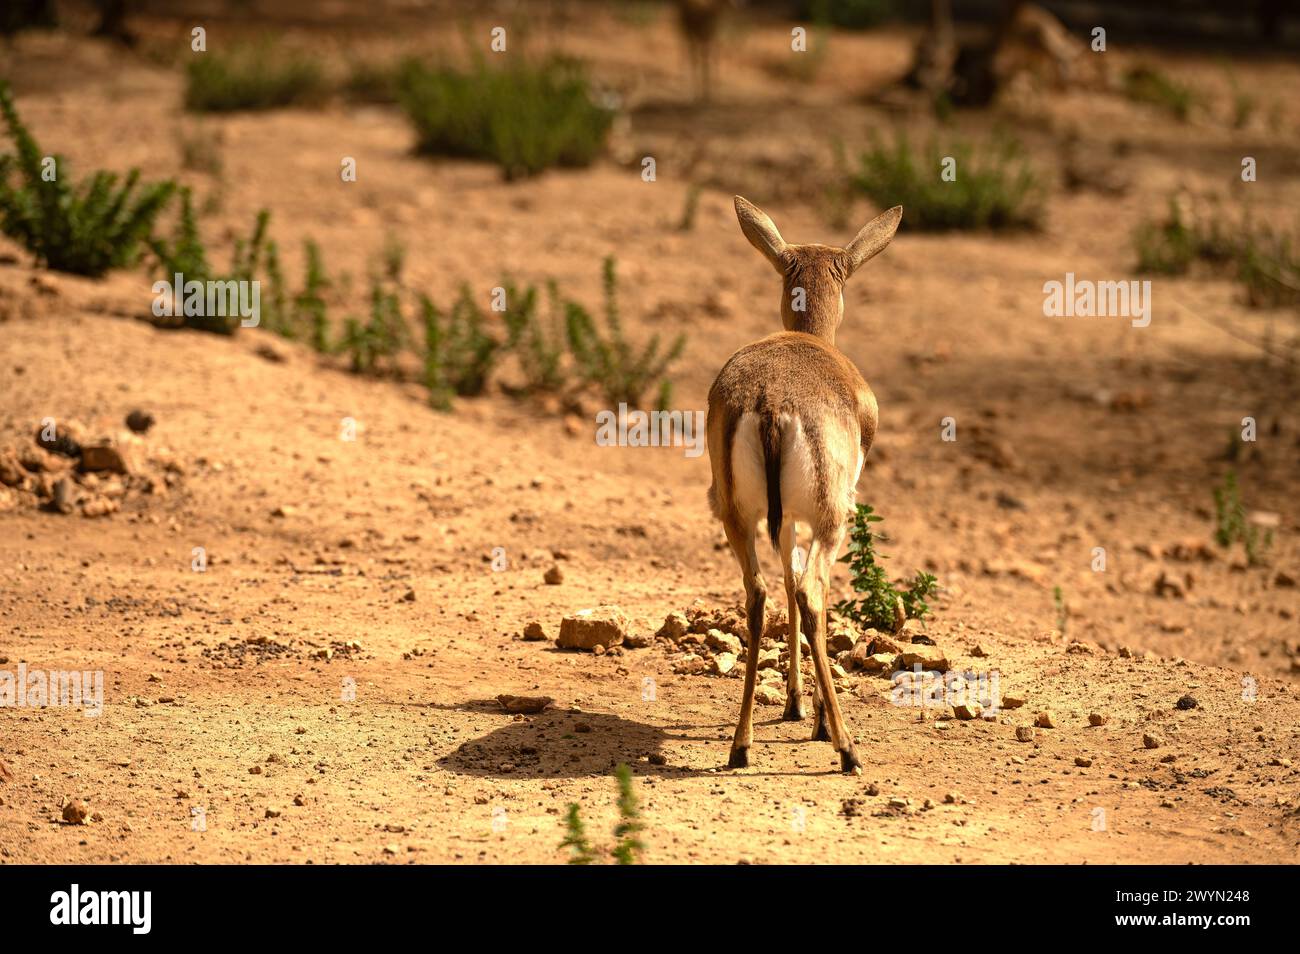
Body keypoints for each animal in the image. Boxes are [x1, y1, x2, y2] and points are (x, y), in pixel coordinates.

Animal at [707, 196, 902, 774]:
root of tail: (771, 403)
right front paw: (814, 719)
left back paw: (741, 745)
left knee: (759, 594)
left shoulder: (785, 518)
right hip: (832, 520)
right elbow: (810, 591)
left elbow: (785, 580)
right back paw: (846, 748)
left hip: (736, 516)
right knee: (812, 593)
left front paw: (793, 703)